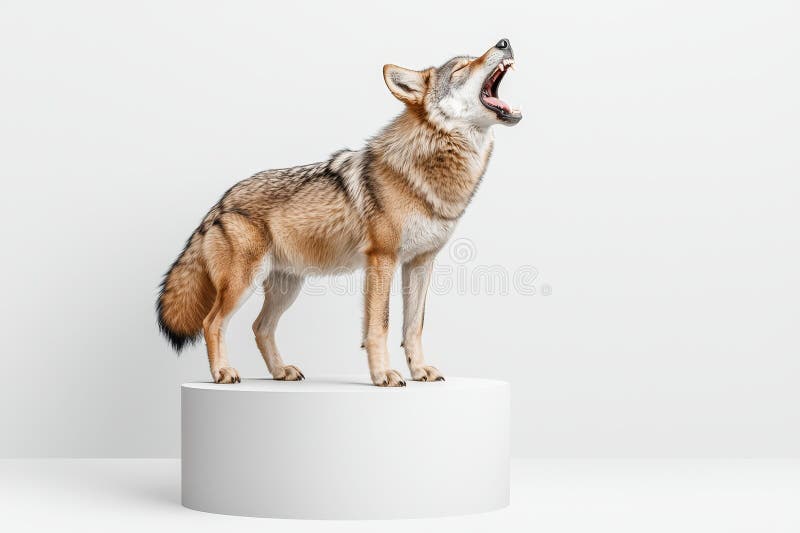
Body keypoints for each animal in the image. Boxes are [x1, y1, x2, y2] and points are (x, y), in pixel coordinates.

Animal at [157, 39, 521, 386]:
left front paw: (419, 371)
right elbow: (380, 325)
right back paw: (223, 372)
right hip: (244, 283)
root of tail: (220, 202)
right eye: (460, 67)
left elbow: (413, 327)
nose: (504, 42)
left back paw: (281, 371)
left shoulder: (420, 263)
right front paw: (383, 376)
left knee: (260, 327)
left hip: (287, 288)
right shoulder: (382, 259)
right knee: (212, 322)